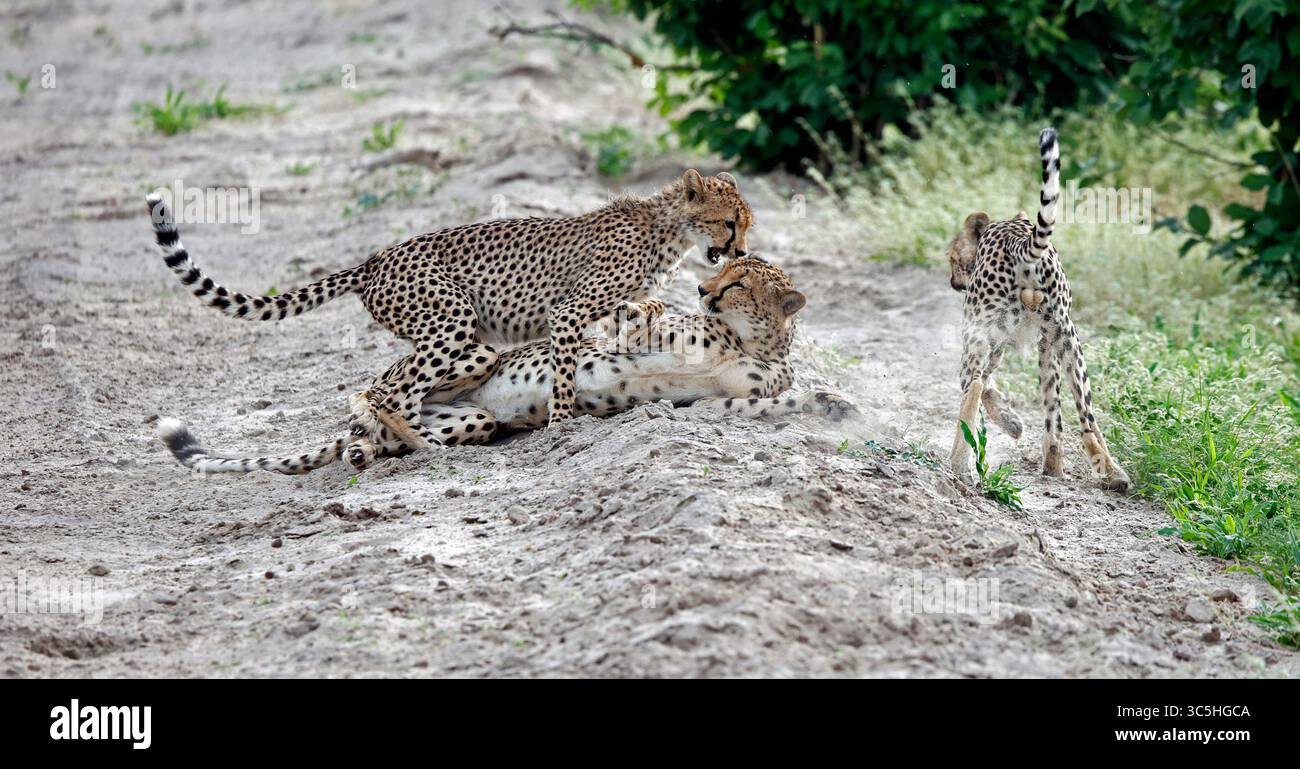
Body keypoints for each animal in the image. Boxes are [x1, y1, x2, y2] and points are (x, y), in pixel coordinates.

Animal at [143, 169, 753, 459]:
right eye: (730, 222)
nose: (741, 250)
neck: (670, 231)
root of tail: (372, 259)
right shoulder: (566, 313)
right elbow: (563, 374)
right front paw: (563, 428)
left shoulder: (608, 311)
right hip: (451, 318)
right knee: (389, 392)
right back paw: (429, 449)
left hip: (462, 339)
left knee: (388, 391)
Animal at [156, 258, 856, 475]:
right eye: (723, 272)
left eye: (739, 282)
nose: (707, 290)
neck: (750, 341)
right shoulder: (629, 335)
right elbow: (631, 320)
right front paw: (644, 304)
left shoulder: (715, 400)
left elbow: (766, 402)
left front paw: (832, 406)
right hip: (472, 352)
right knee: (374, 394)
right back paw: (368, 423)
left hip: (470, 421)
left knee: (401, 435)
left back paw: (389, 449)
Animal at [945, 127, 1130, 492]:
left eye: (953, 257)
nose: (952, 280)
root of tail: (1018, 244)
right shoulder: (1045, 340)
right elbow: (1053, 410)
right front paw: (1049, 461)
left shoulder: (994, 342)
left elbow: (988, 390)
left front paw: (1012, 423)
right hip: (1068, 337)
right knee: (1085, 415)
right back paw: (1110, 474)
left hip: (987, 338)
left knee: (972, 388)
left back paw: (959, 465)